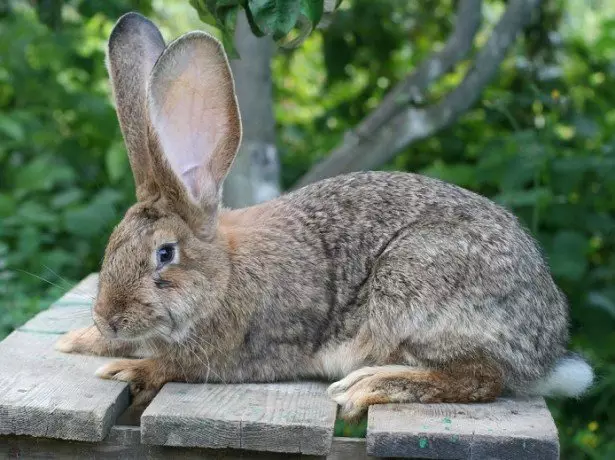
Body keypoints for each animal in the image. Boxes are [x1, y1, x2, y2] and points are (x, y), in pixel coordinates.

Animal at [55, 11, 596, 420]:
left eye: (165, 253)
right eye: (114, 244)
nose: (109, 319)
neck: (225, 273)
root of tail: (546, 351)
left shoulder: (230, 350)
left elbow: (174, 365)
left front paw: (128, 369)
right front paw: (76, 340)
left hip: (417, 286)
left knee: (484, 379)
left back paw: (370, 385)